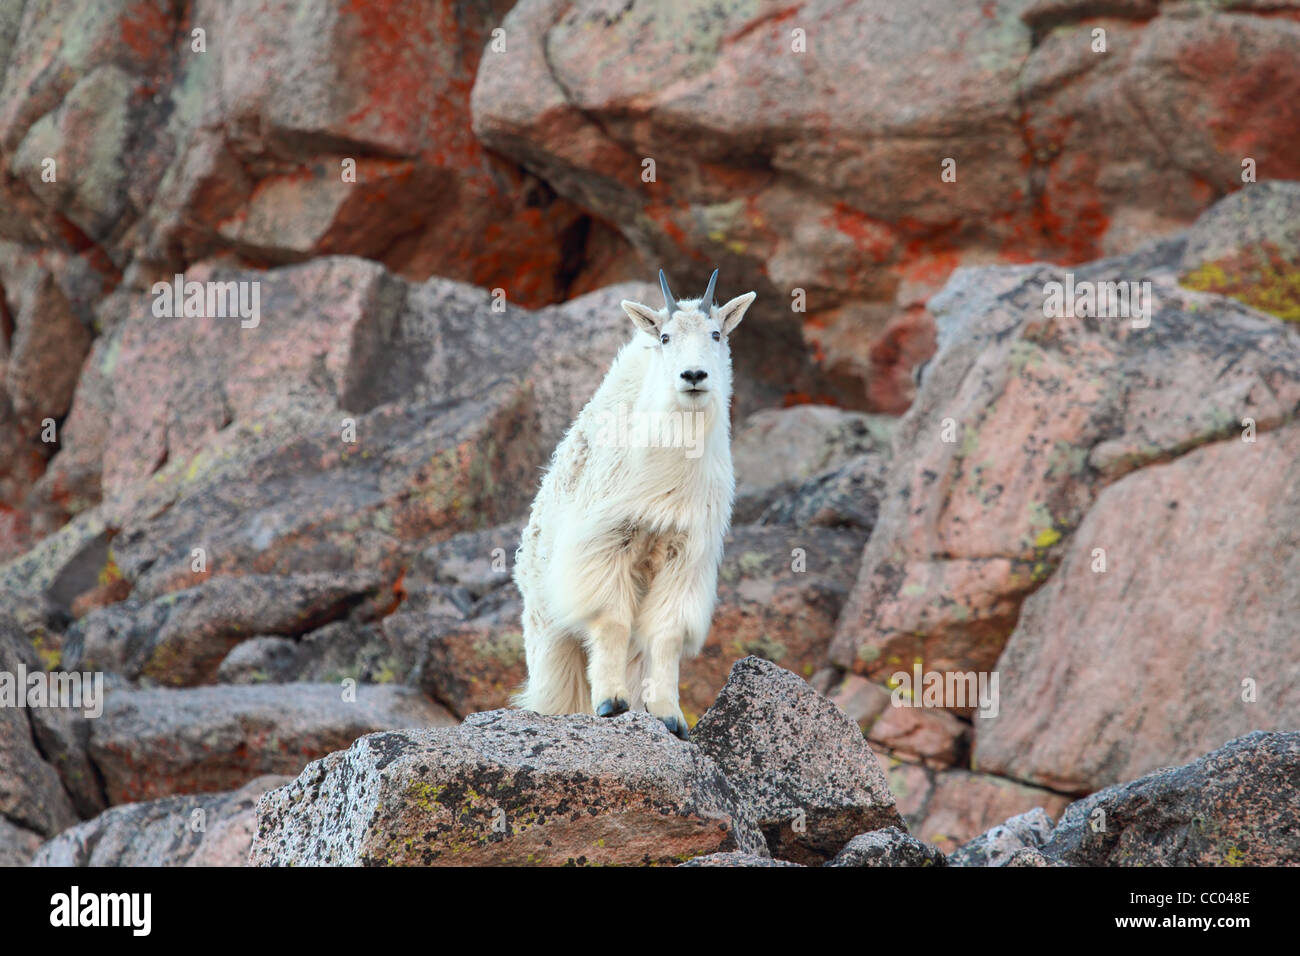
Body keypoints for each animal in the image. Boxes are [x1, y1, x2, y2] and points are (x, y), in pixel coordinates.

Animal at [512, 269, 756, 738]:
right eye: (664, 337)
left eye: (716, 334)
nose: (693, 375)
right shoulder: (607, 541)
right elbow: (612, 620)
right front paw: (611, 702)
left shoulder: (685, 552)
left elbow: (667, 633)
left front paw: (669, 716)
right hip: (547, 628)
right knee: (557, 684)